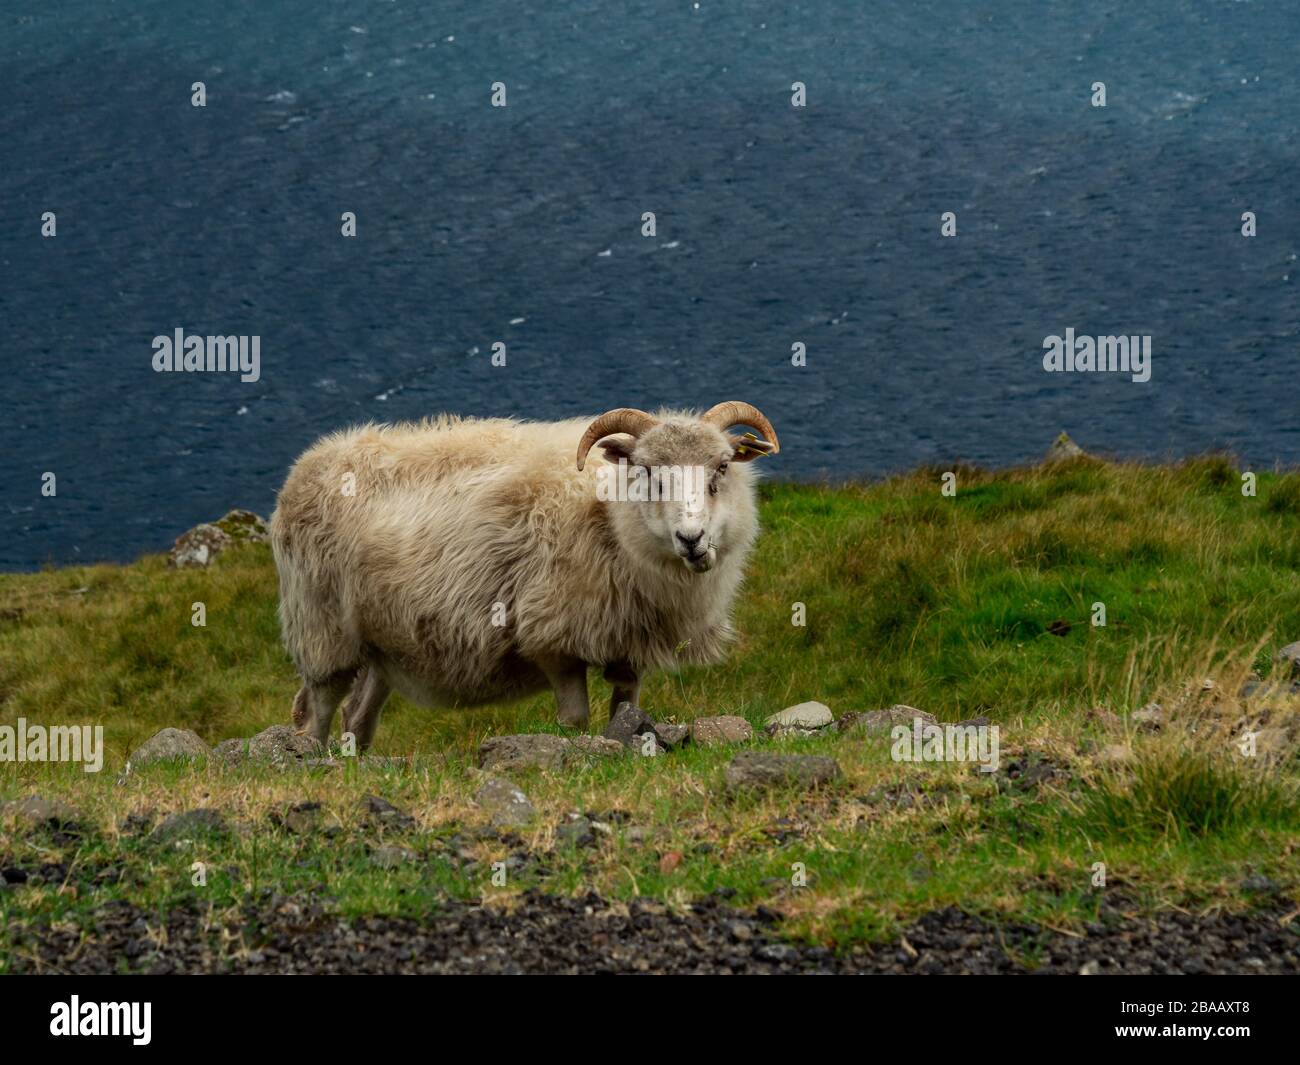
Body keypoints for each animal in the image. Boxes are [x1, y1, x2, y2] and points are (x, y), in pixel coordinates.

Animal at [269, 401, 780, 749]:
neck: (609, 514)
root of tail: (307, 463)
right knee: (315, 710)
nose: (691, 538)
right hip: (321, 627)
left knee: (357, 715)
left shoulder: (627, 638)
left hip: (383, 642)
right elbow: (574, 719)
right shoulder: (553, 637)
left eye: (722, 467)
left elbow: (625, 709)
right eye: (648, 472)